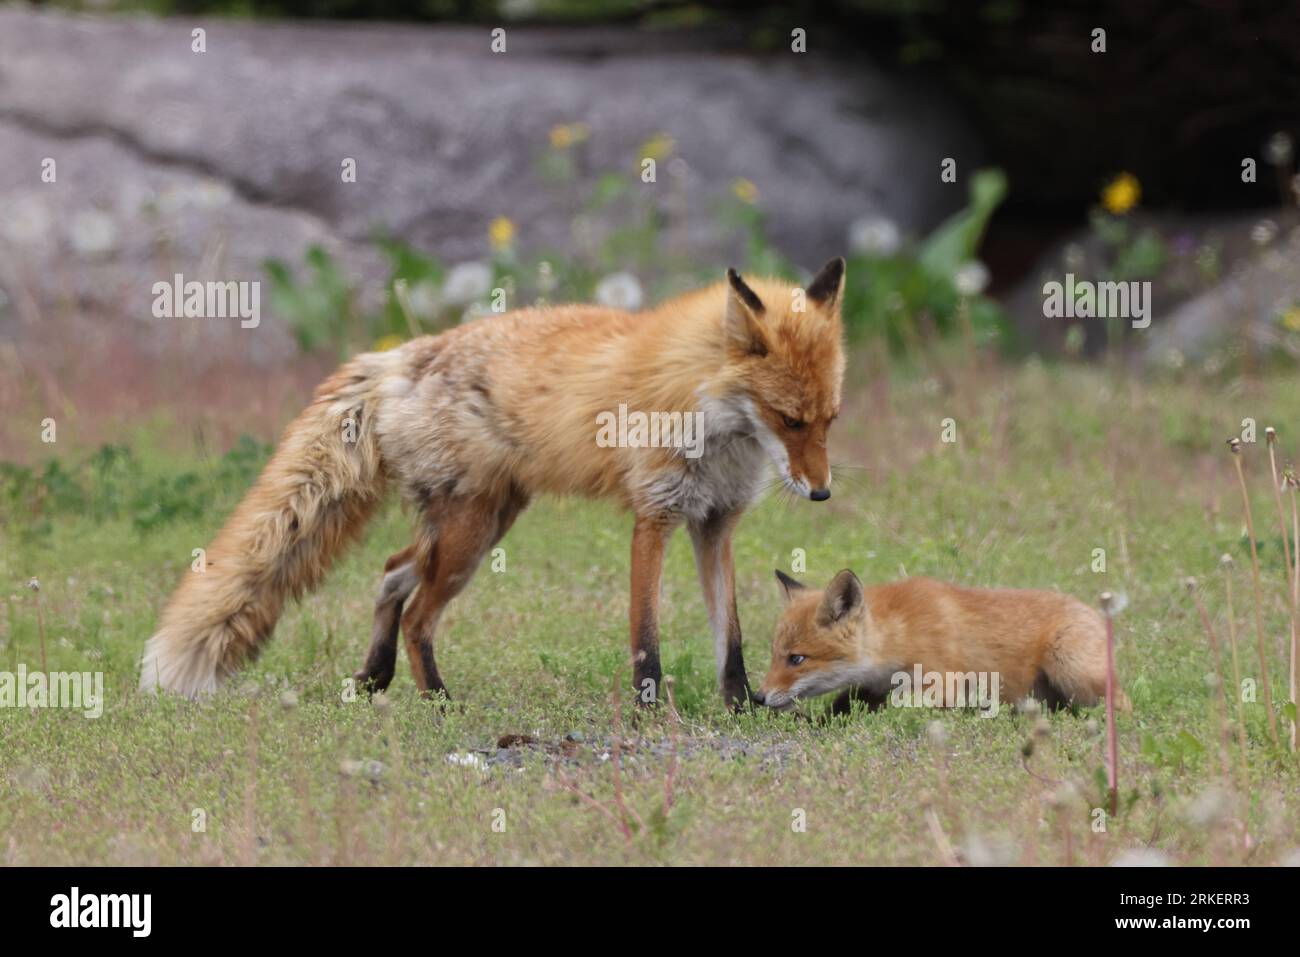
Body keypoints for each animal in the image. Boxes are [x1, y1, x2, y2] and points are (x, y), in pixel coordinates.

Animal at [139, 258, 848, 708]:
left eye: (830, 420)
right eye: (789, 419)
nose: (822, 494)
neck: (711, 415)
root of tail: (399, 358)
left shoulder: (715, 523)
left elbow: (730, 639)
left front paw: (741, 707)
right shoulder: (656, 515)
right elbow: (646, 640)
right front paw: (654, 714)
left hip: (478, 522)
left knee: (392, 574)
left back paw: (375, 677)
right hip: (471, 532)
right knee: (417, 613)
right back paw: (438, 702)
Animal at [755, 569, 1129, 714]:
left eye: (796, 659)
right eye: (773, 655)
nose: (757, 697)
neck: (901, 633)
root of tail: (1095, 612)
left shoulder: (945, 682)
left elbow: (901, 703)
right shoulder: (871, 685)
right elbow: (844, 705)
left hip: (1069, 665)